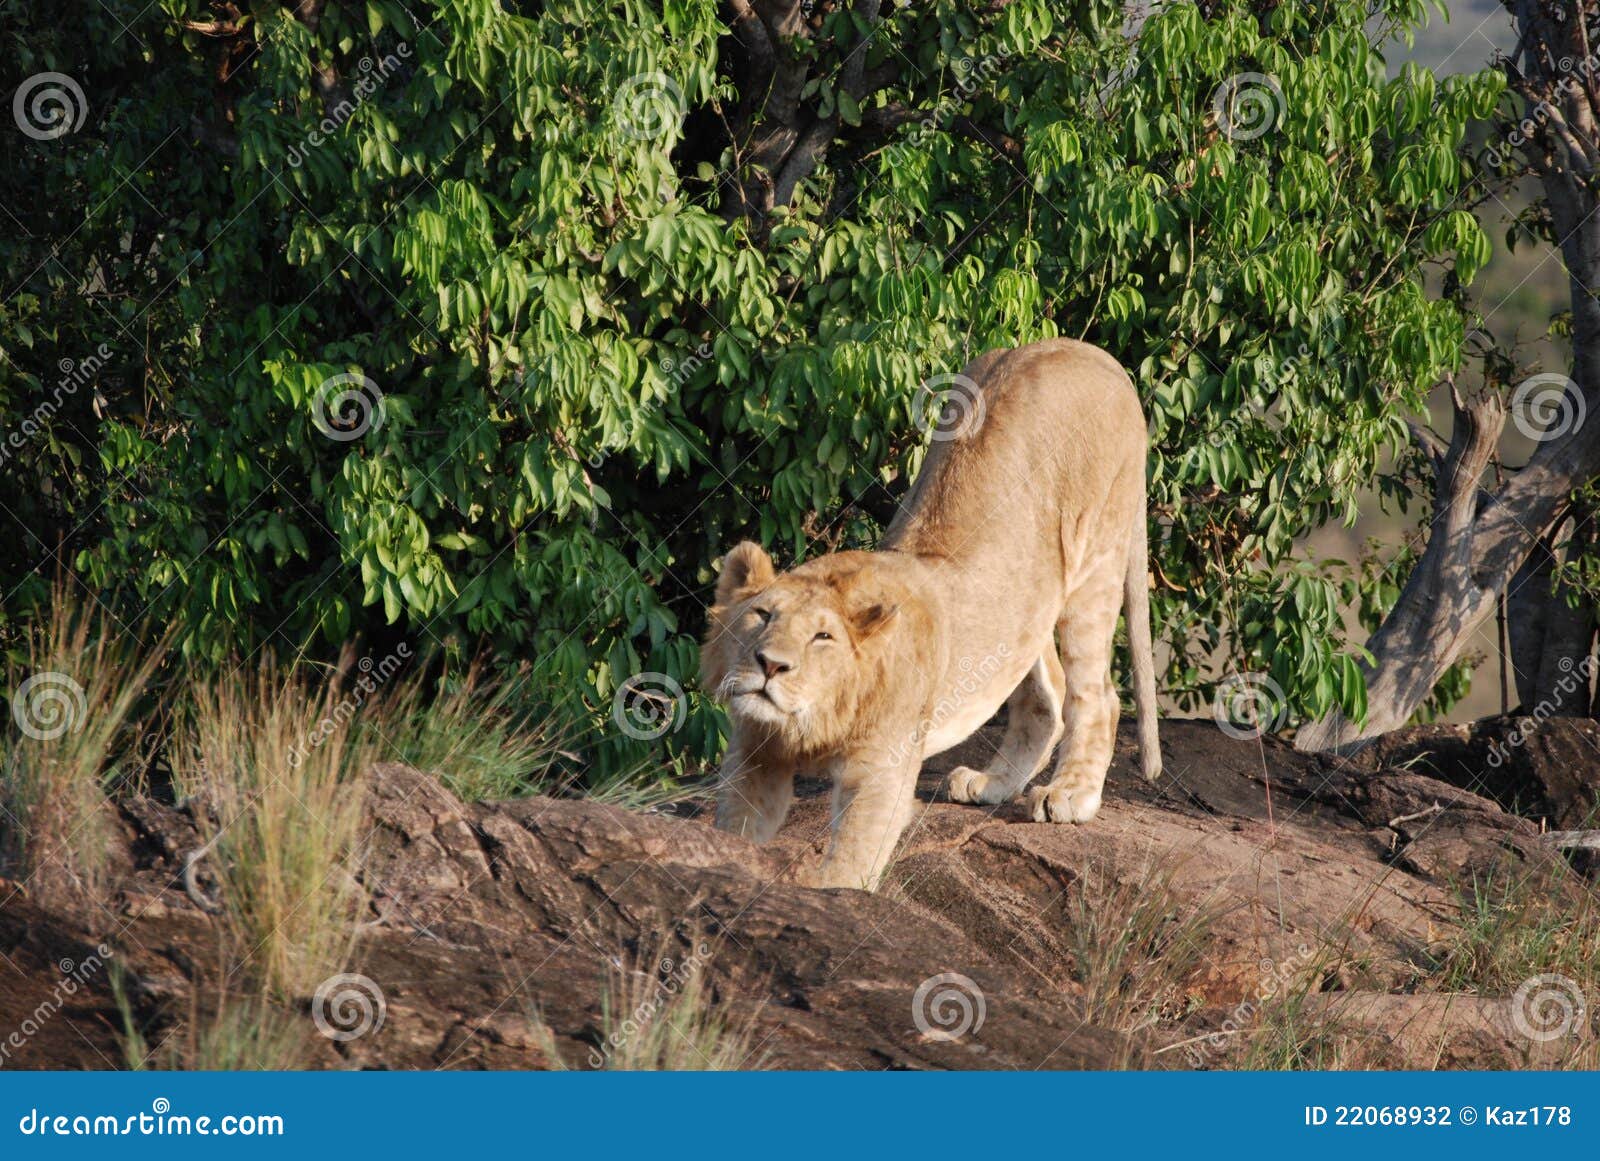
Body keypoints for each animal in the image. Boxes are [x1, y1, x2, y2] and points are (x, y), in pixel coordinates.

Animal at [701, 338, 1160, 890]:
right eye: (762, 615)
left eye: (822, 638)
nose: (770, 665)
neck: (814, 717)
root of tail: (1095, 354)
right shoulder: (754, 754)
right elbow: (736, 830)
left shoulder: (881, 771)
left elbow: (849, 864)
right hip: (1024, 604)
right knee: (1041, 693)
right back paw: (992, 783)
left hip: (1096, 561)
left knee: (1097, 695)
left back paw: (1069, 794)